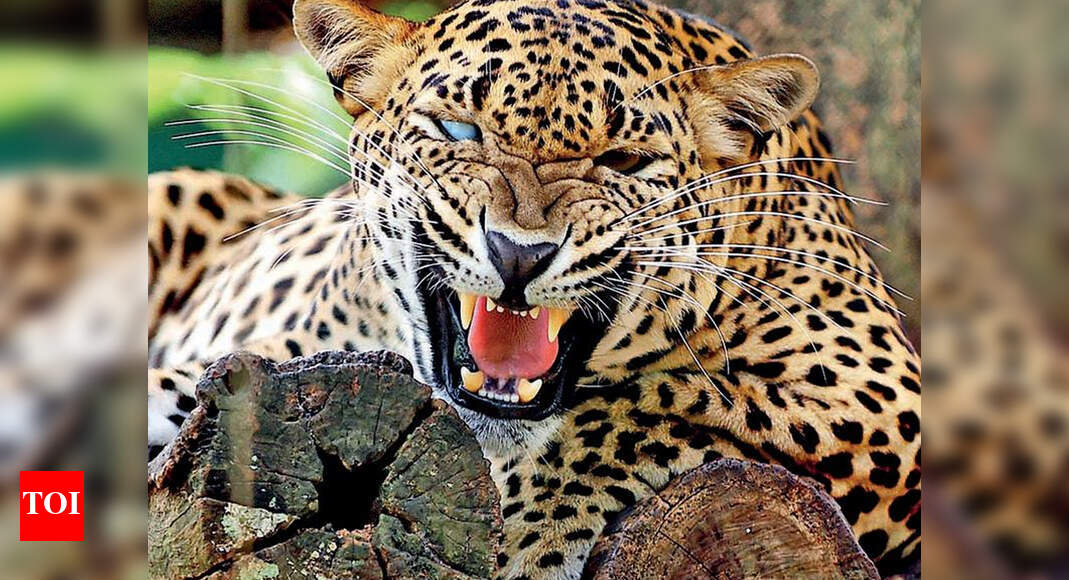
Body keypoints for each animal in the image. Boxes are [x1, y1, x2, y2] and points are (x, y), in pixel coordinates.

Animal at [148, 0, 922, 577]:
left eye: (623, 160)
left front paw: (530, 532)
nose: (519, 254)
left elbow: (651, 403)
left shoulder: (878, 396)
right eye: (457, 129)